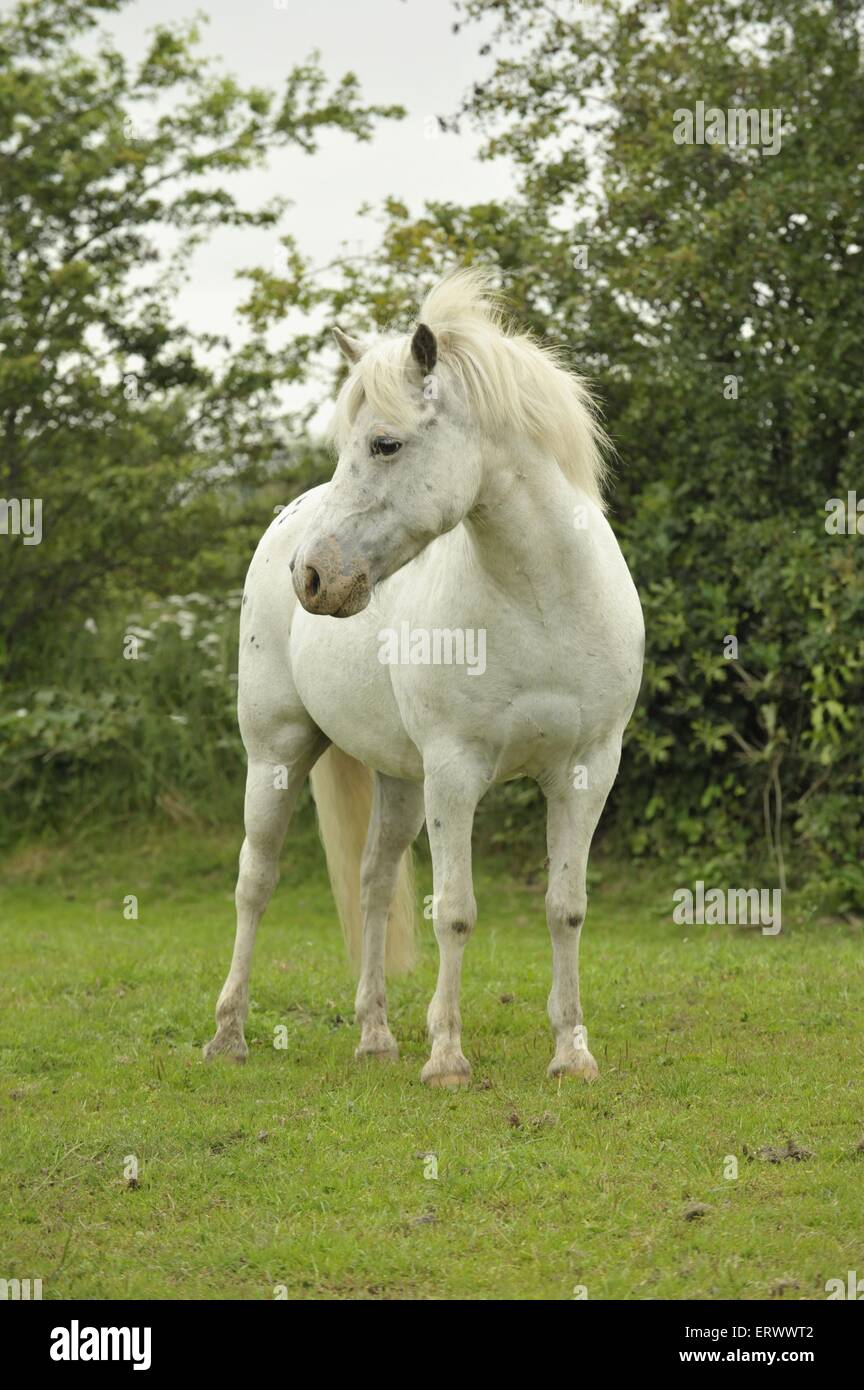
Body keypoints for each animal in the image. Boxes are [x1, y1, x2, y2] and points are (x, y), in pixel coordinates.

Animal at [203, 268, 644, 1085]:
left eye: (385, 443)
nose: (313, 577)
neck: (542, 599)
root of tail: (287, 521)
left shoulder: (586, 770)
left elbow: (565, 907)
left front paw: (572, 1053)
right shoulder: (456, 773)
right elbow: (457, 911)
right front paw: (446, 1058)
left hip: (399, 779)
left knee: (375, 885)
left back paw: (375, 1036)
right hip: (277, 754)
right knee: (256, 881)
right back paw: (229, 1036)